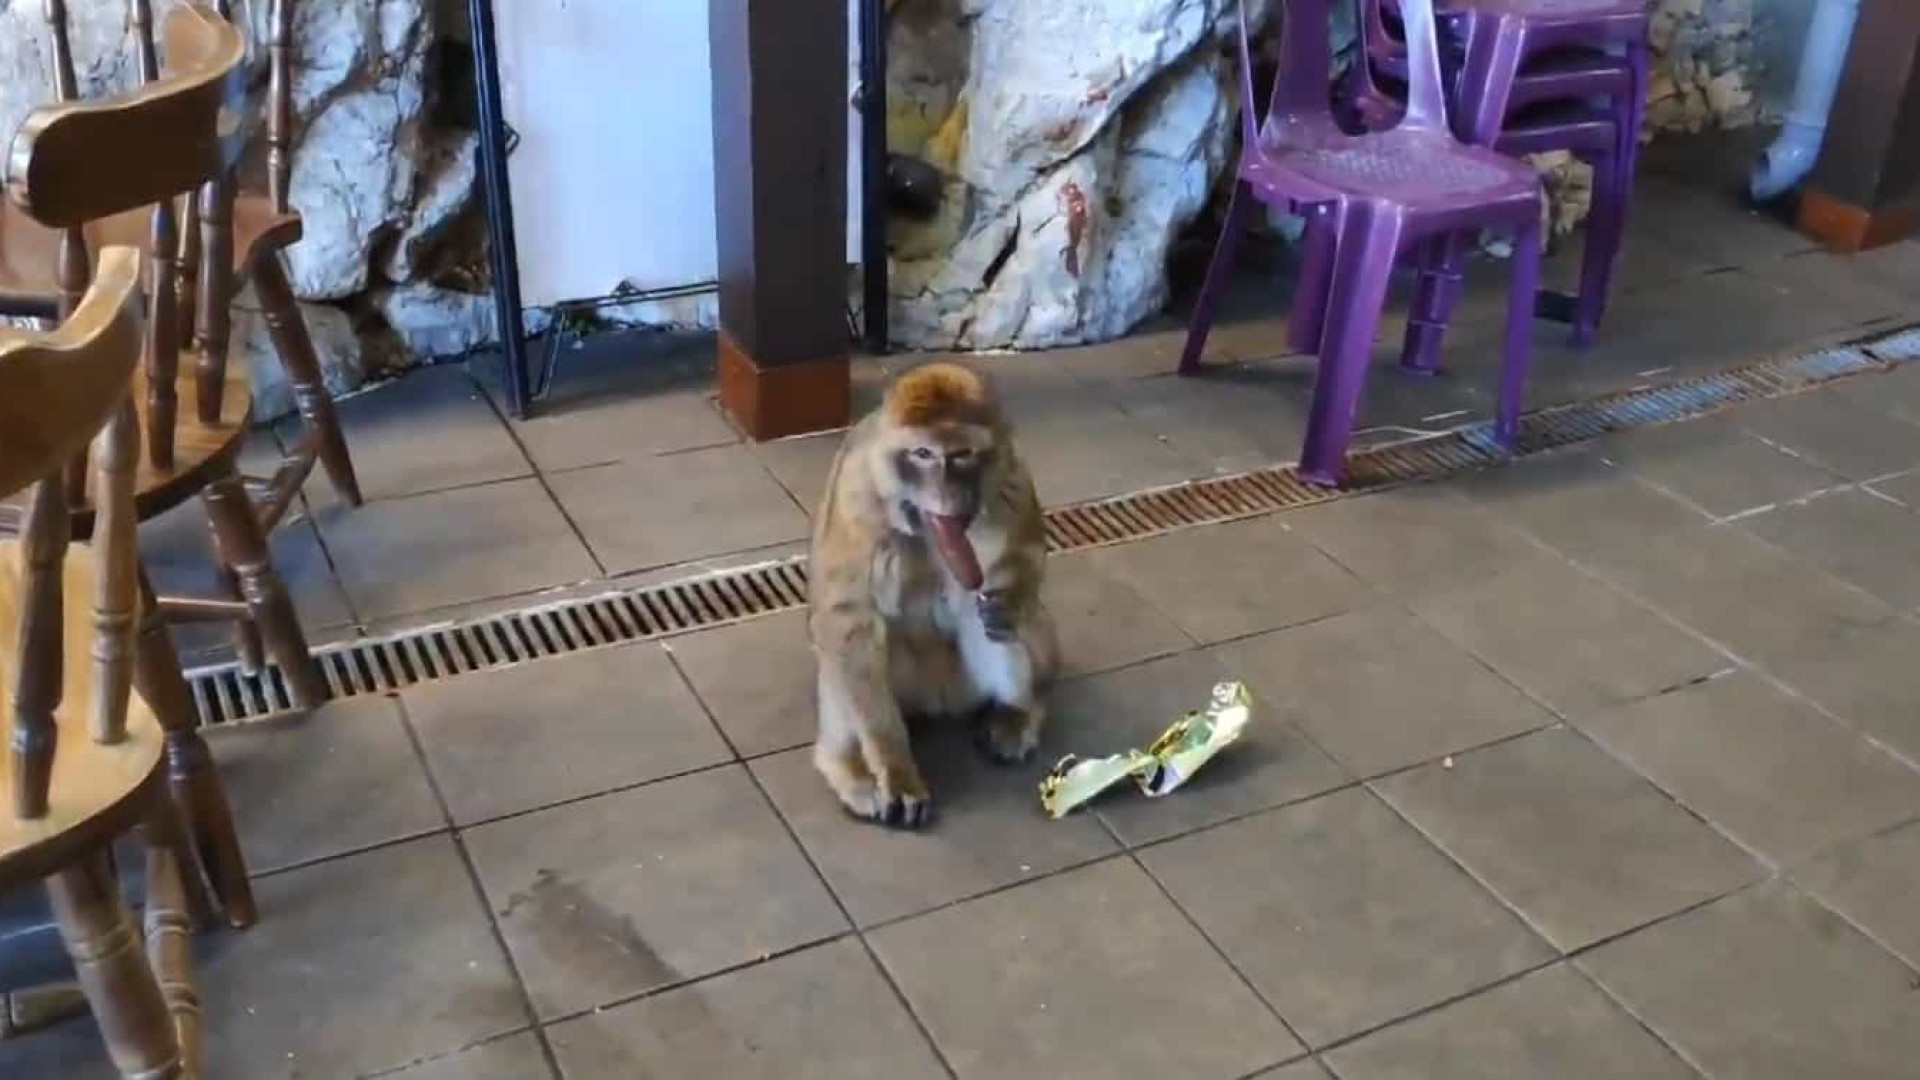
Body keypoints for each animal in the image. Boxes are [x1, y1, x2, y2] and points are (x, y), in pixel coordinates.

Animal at [808, 361, 1056, 828]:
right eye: (923, 454)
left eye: (961, 455)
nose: (946, 492)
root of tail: (938, 701)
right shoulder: (857, 495)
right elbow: (847, 617)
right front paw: (894, 768)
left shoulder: (1011, 475)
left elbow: (1027, 551)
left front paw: (1011, 603)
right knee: (846, 654)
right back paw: (847, 766)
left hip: (965, 682)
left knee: (985, 621)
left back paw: (1017, 711)